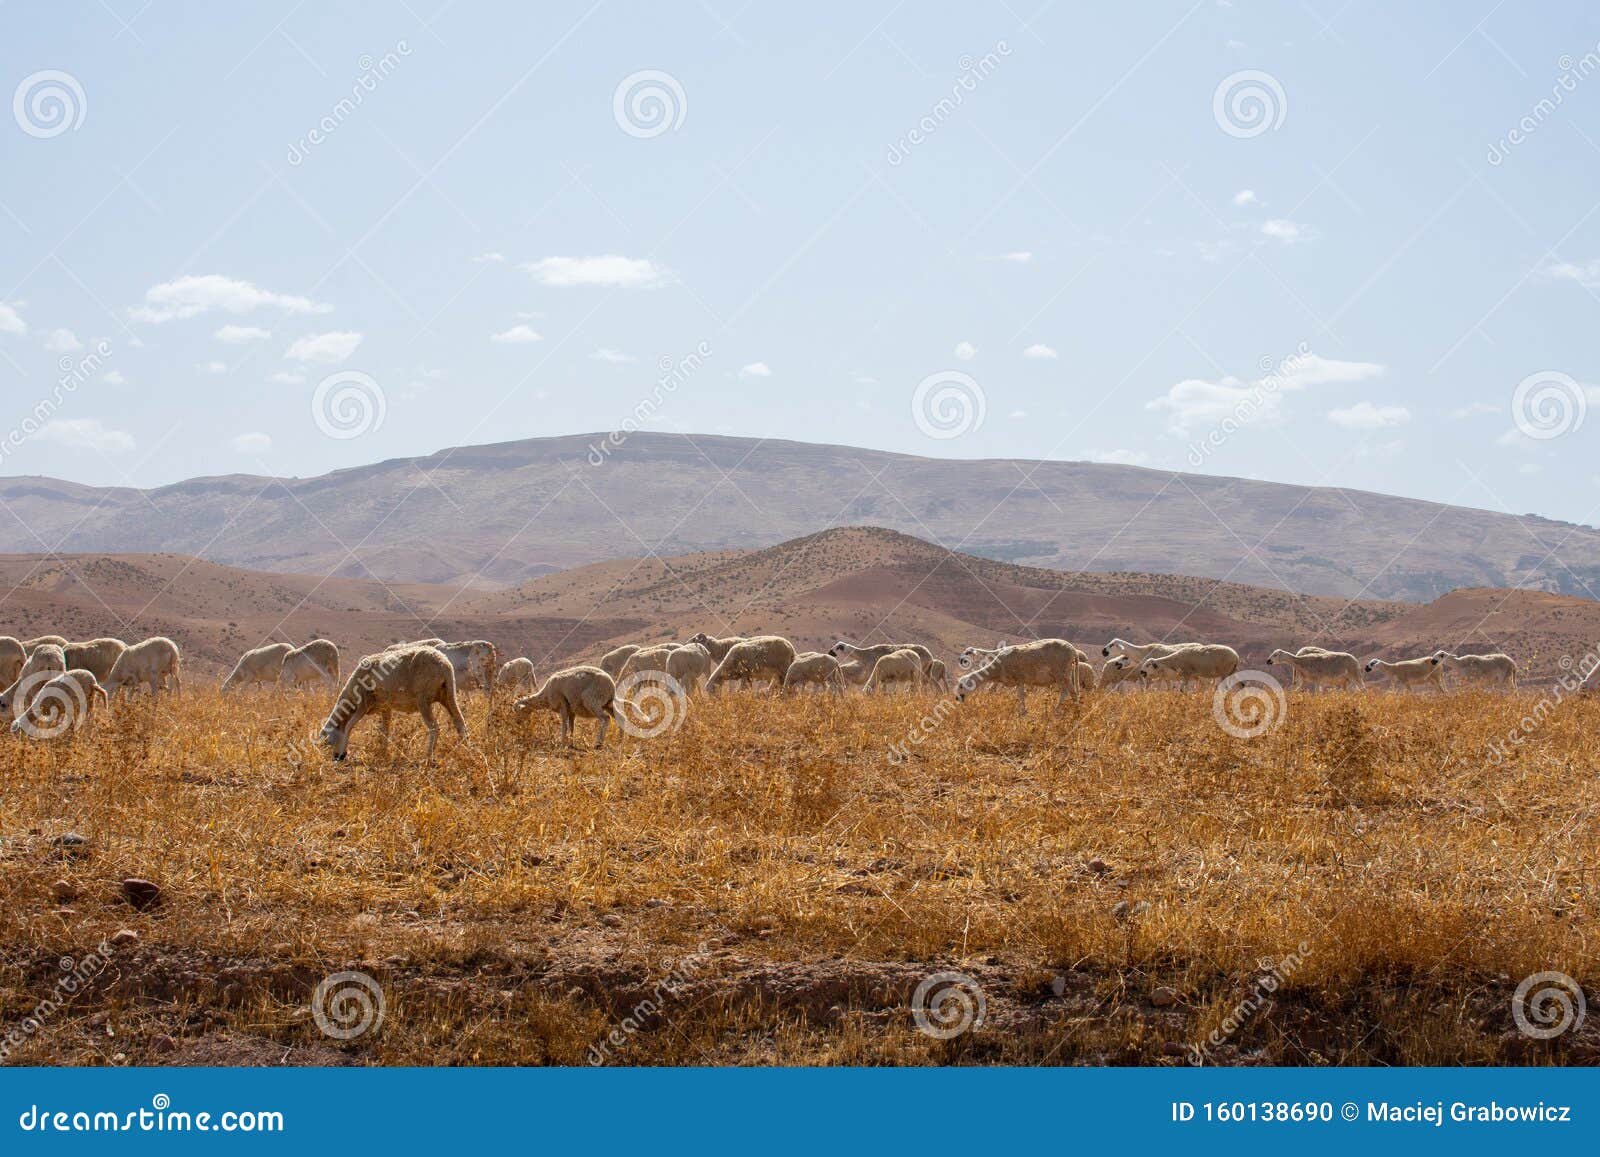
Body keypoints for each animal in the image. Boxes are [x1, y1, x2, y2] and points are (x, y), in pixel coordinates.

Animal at [319, 645, 467, 762]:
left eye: (328, 742)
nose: (335, 758)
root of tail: (444, 664)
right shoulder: (385, 707)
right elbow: (385, 730)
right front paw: (383, 753)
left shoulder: (363, 704)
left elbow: (348, 726)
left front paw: (344, 752)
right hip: (448, 694)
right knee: (460, 723)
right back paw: (465, 751)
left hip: (423, 699)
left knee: (434, 727)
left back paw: (428, 758)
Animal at [955, 639, 1086, 712]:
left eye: (961, 685)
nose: (957, 698)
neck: (996, 669)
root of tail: (1073, 651)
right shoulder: (1018, 682)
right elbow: (1019, 697)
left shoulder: (1019, 679)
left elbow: (1021, 697)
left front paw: (1023, 713)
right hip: (1063, 676)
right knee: (1066, 693)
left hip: (1063, 674)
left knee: (1071, 693)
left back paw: (1069, 712)